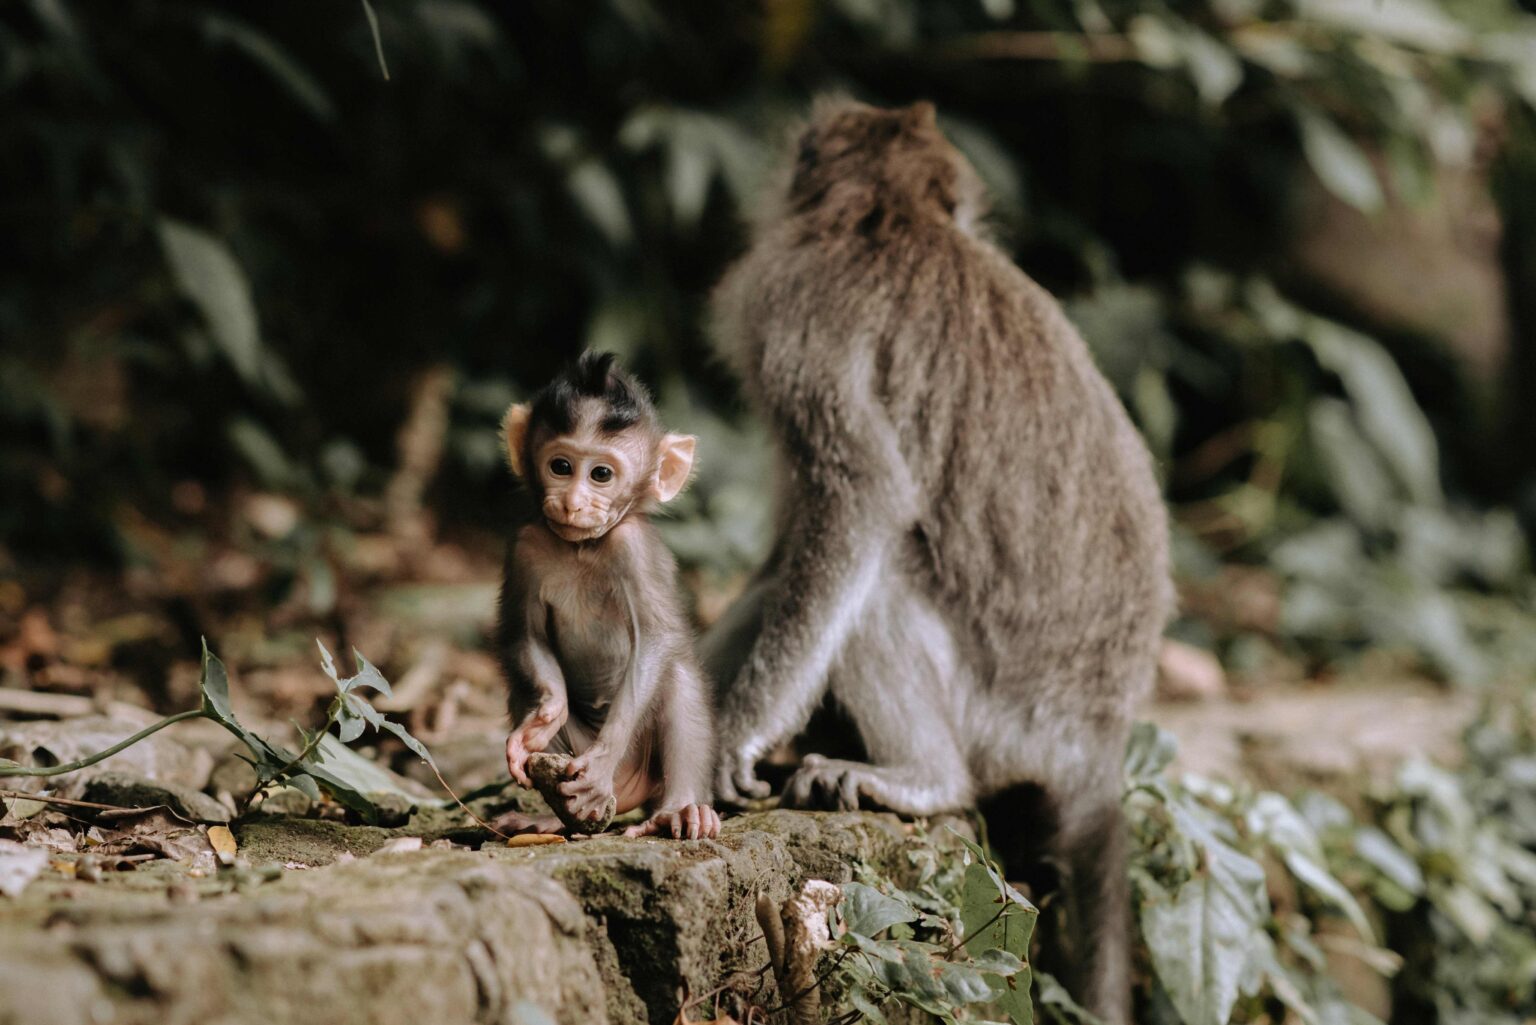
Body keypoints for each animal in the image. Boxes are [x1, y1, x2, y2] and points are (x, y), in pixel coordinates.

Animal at [496, 351, 720, 841]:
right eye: (561, 466)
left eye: (601, 474)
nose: (573, 502)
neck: (584, 547)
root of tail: (632, 791)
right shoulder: (525, 546)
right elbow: (525, 637)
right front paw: (541, 721)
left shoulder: (631, 547)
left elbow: (655, 641)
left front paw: (599, 765)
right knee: (521, 689)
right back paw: (552, 815)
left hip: (642, 764)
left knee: (676, 677)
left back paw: (679, 809)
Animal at [701, 99, 1172, 1021]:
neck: (892, 215)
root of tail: (1101, 737)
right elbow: (785, 564)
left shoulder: (791, 308)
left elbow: (861, 500)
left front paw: (735, 733)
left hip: (1005, 722)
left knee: (879, 584)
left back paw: (927, 777)